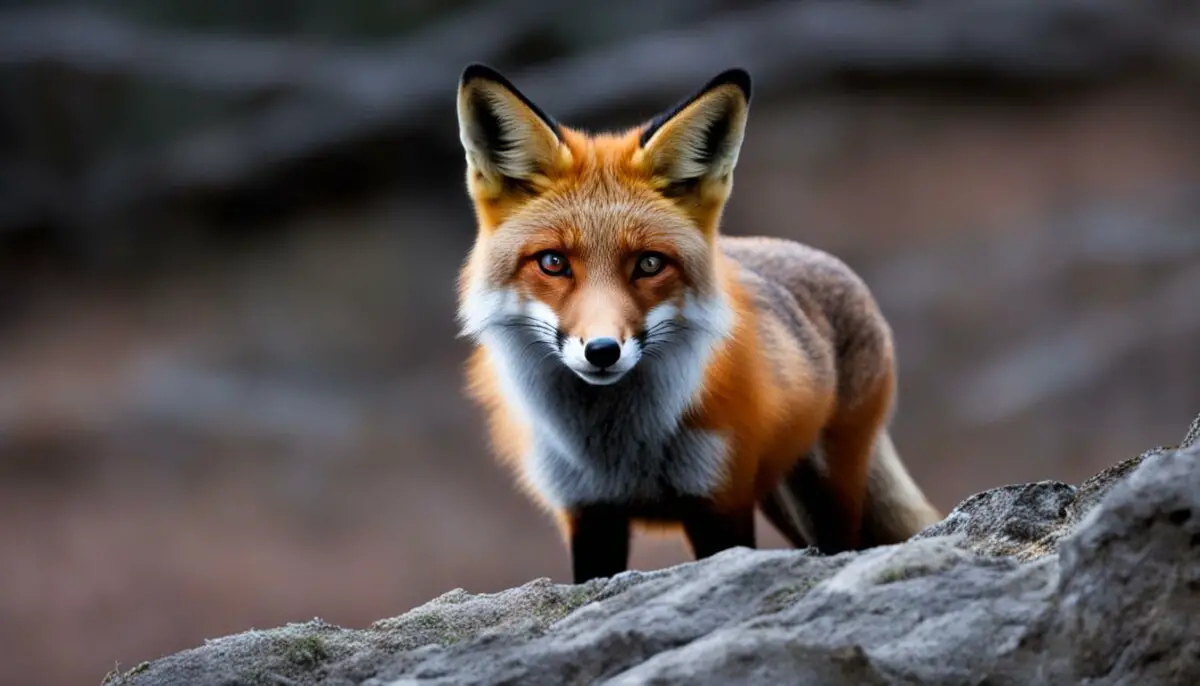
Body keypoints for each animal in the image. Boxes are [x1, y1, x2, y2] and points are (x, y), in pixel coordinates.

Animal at [453, 63, 942, 584]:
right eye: (552, 262)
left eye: (649, 264)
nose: (602, 350)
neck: (618, 452)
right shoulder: (589, 512)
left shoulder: (719, 499)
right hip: (779, 500)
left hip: (824, 490)